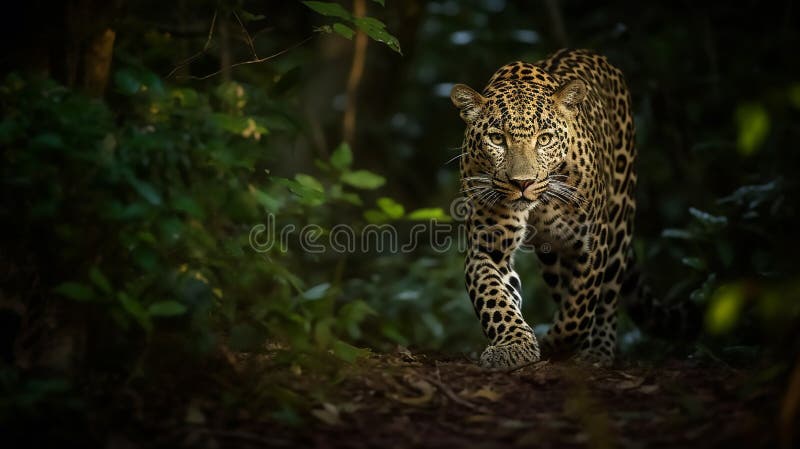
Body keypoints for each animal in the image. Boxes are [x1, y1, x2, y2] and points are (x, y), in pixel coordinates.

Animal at [450, 48, 650, 370]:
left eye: (544, 139)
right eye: (497, 138)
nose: (523, 183)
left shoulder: (592, 242)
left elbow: (581, 306)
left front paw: (556, 342)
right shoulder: (488, 245)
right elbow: (494, 297)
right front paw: (514, 345)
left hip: (620, 219)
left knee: (607, 297)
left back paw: (599, 351)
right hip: (552, 259)